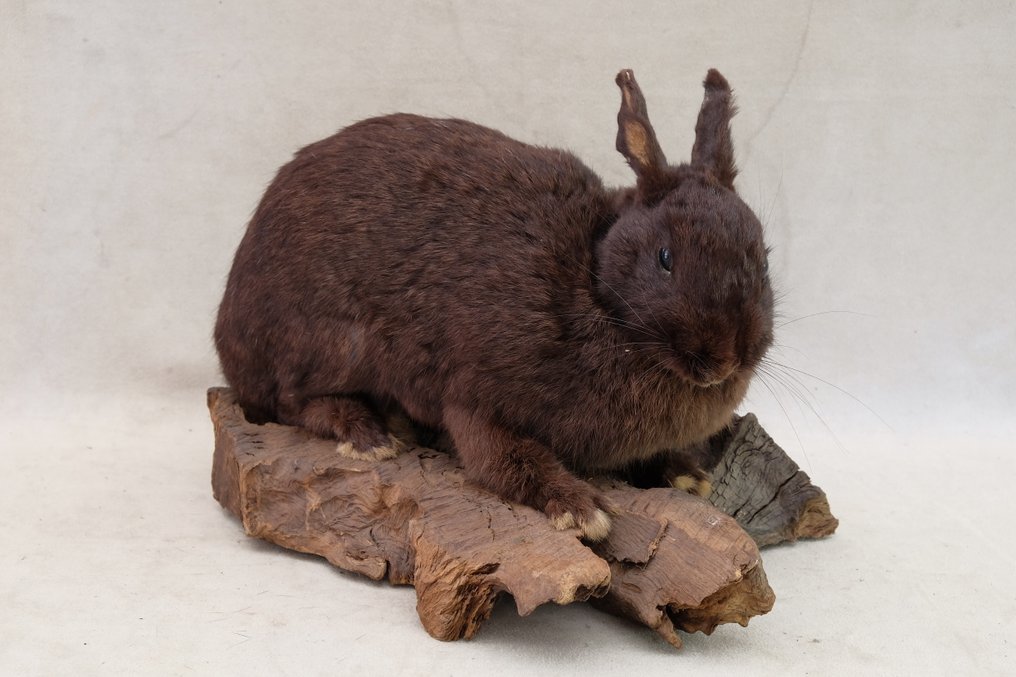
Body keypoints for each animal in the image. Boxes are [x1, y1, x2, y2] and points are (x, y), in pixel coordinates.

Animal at [215, 69, 774, 541]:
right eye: (665, 259)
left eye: (762, 254)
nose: (725, 359)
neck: (595, 287)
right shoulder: (476, 397)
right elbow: (506, 461)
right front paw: (583, 509)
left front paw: (685, 474)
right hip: (330, 339)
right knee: (290, 400)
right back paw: (370, 432)